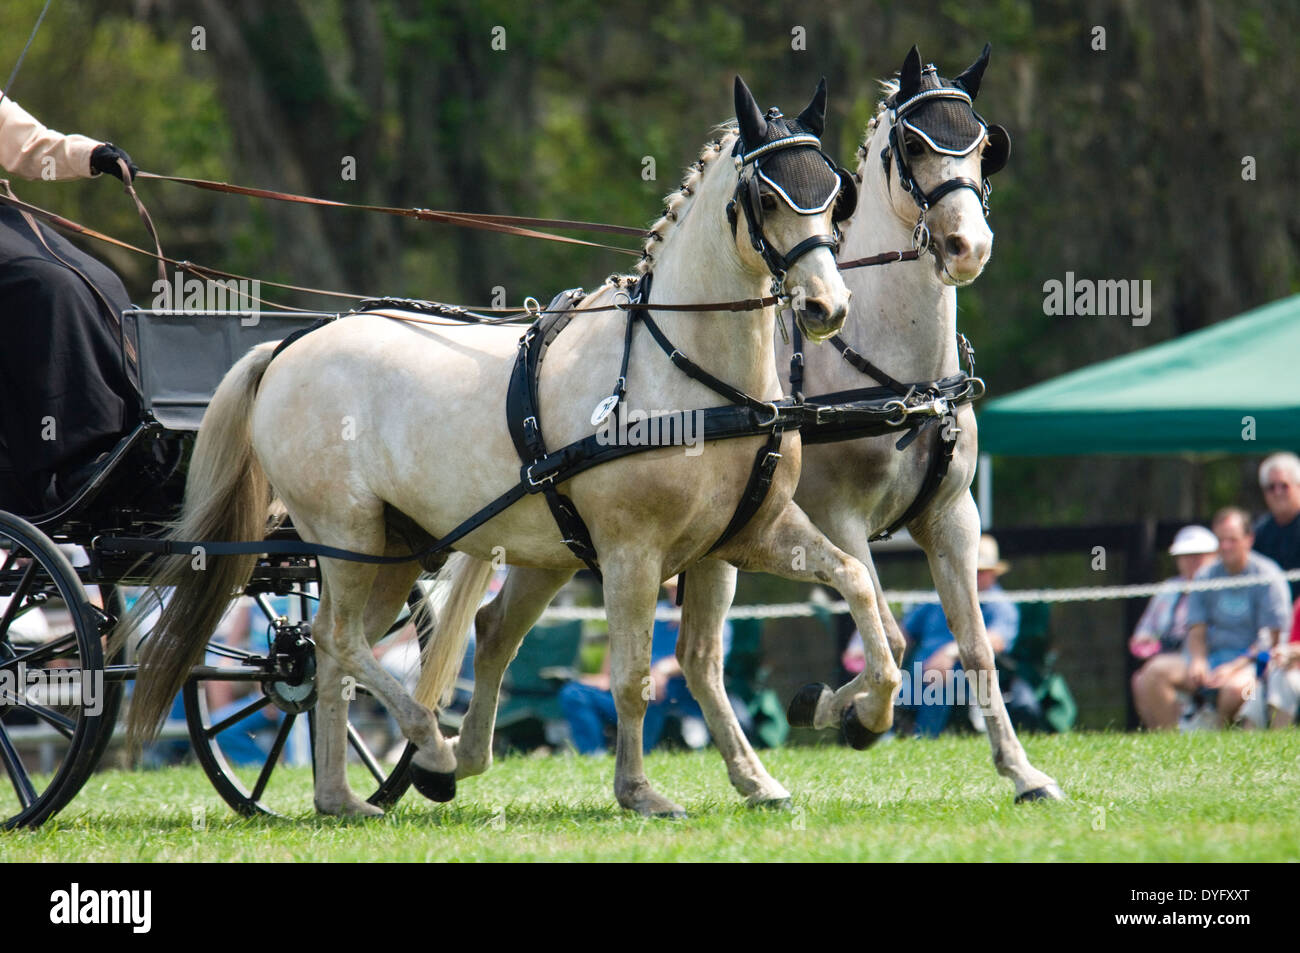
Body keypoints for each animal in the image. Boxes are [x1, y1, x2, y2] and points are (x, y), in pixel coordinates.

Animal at [121, 76, 910, 819]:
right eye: (766, 198)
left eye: (835, 194)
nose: (827, 306)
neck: (689, 370)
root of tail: (288, 347)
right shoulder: (631, 552)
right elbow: (632, 675)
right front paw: (639, 791)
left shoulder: (738, 540)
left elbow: (802, 609)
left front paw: (836, 725)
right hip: (345, 535)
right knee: (340, 643)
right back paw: (430, 747)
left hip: (396, 550)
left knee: (333, 650)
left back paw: (344, 795)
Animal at [453, 45, 1062, 805]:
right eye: (916, 146)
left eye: (982, 146)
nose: (965, 245)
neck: (890, 369)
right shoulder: (836, 516)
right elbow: (891, 638)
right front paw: (842, 710)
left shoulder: (952, 515)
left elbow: (976, 647)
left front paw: (1023, 770)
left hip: (570, 546)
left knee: (522, 631)